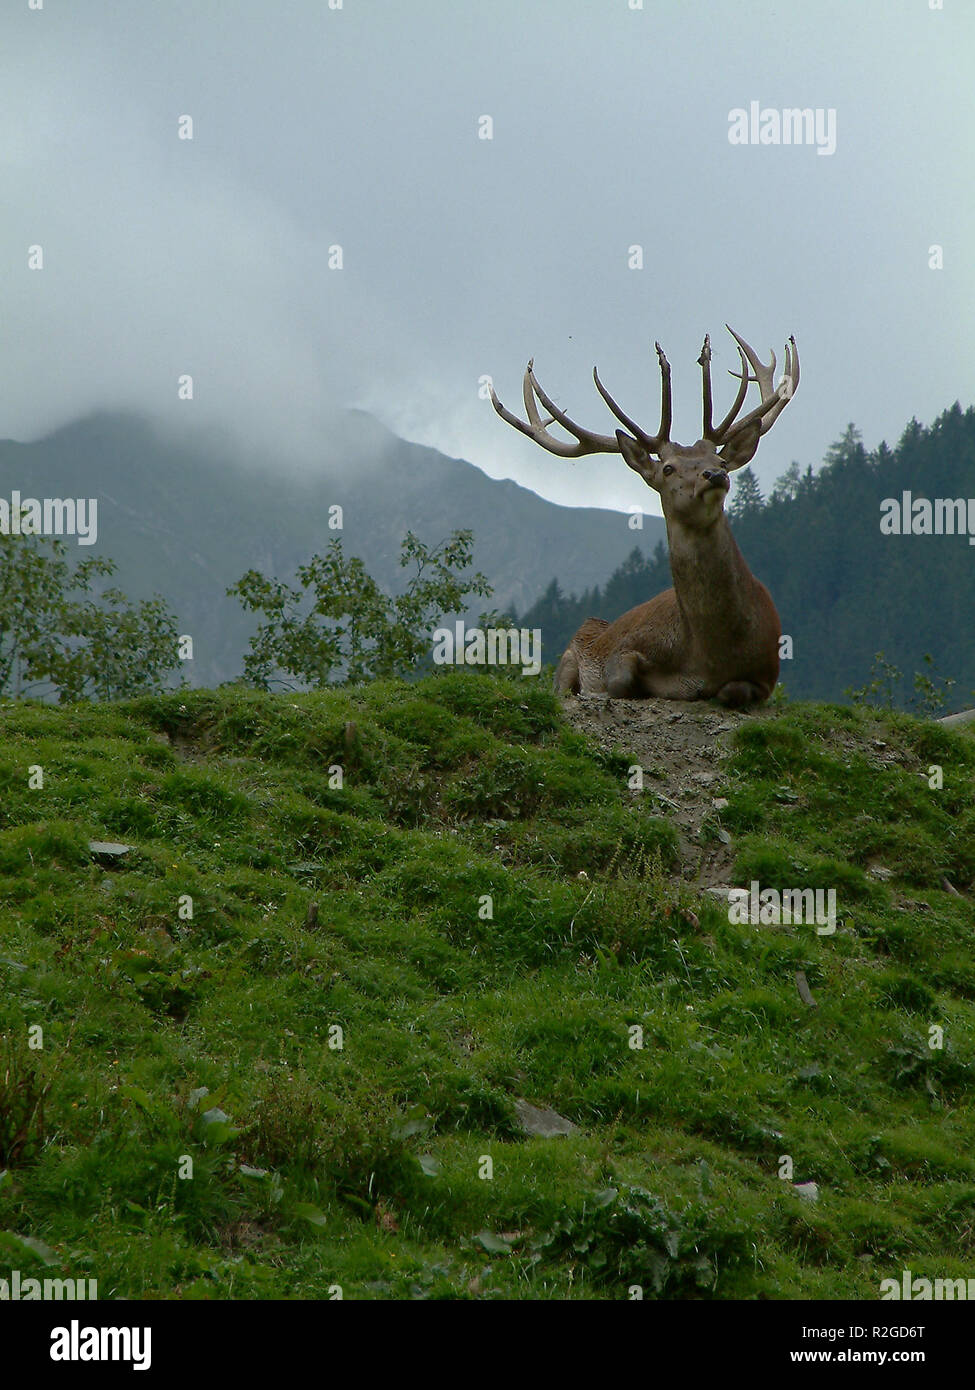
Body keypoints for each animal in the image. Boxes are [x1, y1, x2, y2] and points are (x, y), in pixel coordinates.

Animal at [490, 326, 799, 707]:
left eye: (722, 461)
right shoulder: (627, 647)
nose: (715, 476)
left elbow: (733, 690)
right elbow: (620, 680)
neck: (709, 653)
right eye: (668, 468)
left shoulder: (767, 672)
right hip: (566, 658)